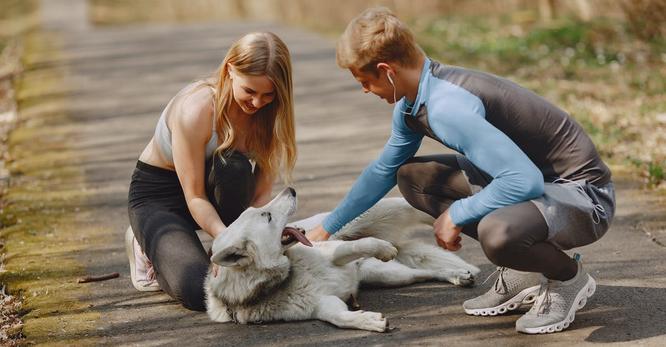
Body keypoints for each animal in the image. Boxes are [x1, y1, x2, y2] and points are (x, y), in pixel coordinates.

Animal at [204, 189, 478, 334]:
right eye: (267, 216)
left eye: (261, 212)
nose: (290, 189)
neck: (287, 276)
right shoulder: (324, 305)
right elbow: (339, 318)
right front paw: (368, 321)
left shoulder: (336, 252)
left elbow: (359, 245)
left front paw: (382, 248)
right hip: (390, 277)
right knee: (422, 274)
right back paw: (457, 275)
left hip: (377, 222)